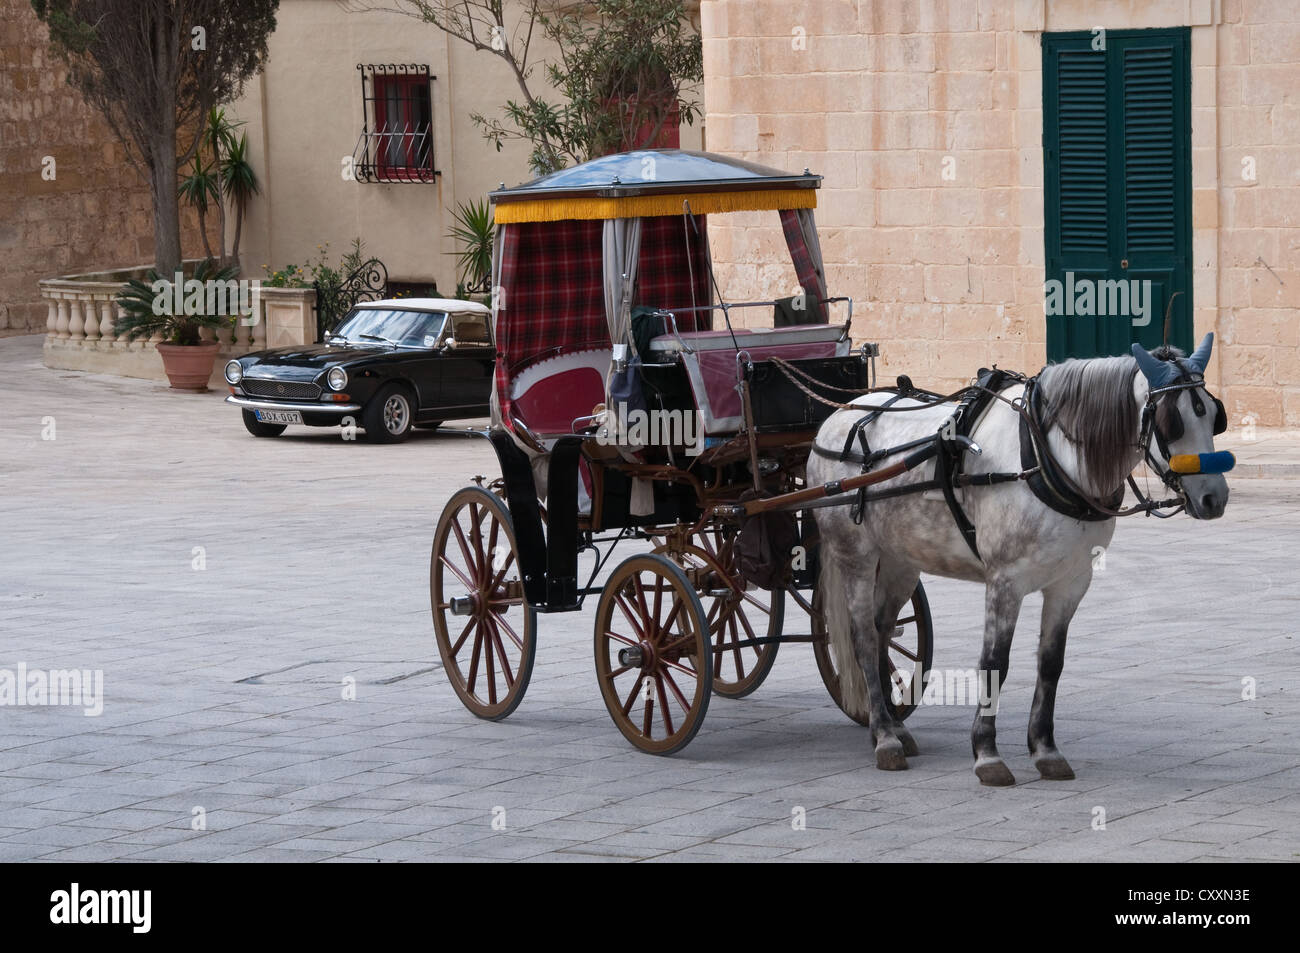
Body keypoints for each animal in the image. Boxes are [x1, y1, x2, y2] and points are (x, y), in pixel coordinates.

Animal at [807, 334, 1232, 785]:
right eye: (1172, 422)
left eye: (1214, 416)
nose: (1214, 498)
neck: (1047, 459)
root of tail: (838, 416)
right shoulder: (1005, 582)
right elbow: (995, 662)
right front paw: (987, 755)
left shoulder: (1071, 583)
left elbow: (1050, 663)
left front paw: (1045, 749)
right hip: (856, 554)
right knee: (864, 639)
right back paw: (885, 737)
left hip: (900, 559)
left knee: (882, 630)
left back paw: (892, 726)